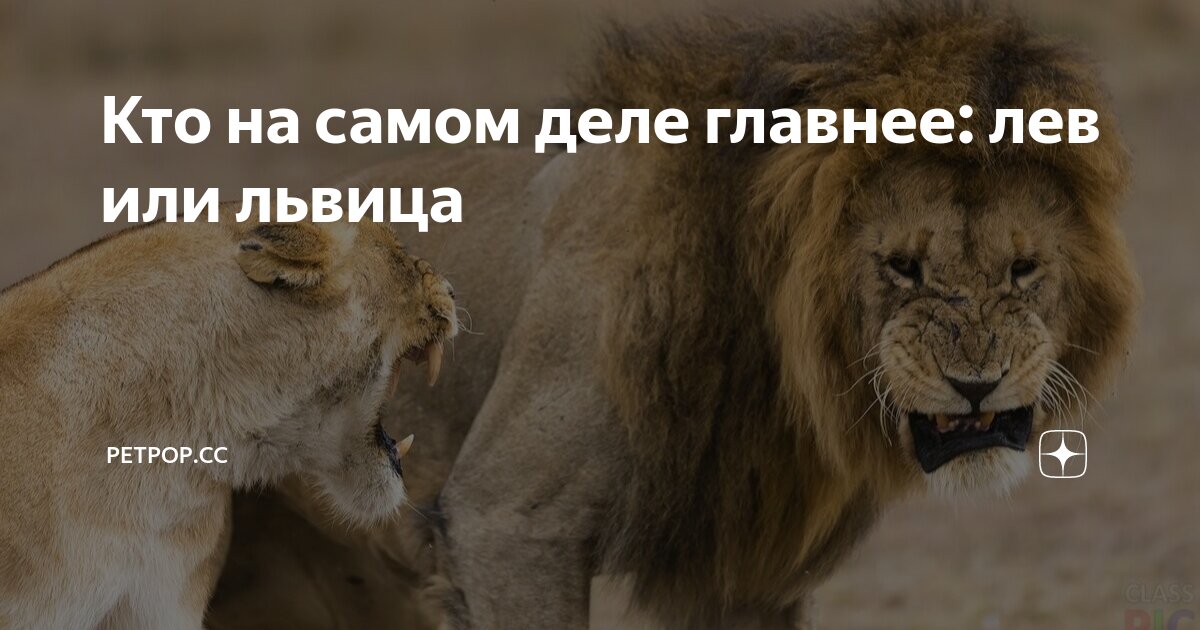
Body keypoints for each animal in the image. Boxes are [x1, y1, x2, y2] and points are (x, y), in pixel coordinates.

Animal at [209, 4, 1137, 628]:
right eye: (901, 266)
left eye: (1024, 268)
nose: (977, 385)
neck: (782, 361)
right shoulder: (508, 517)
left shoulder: (748, 566)